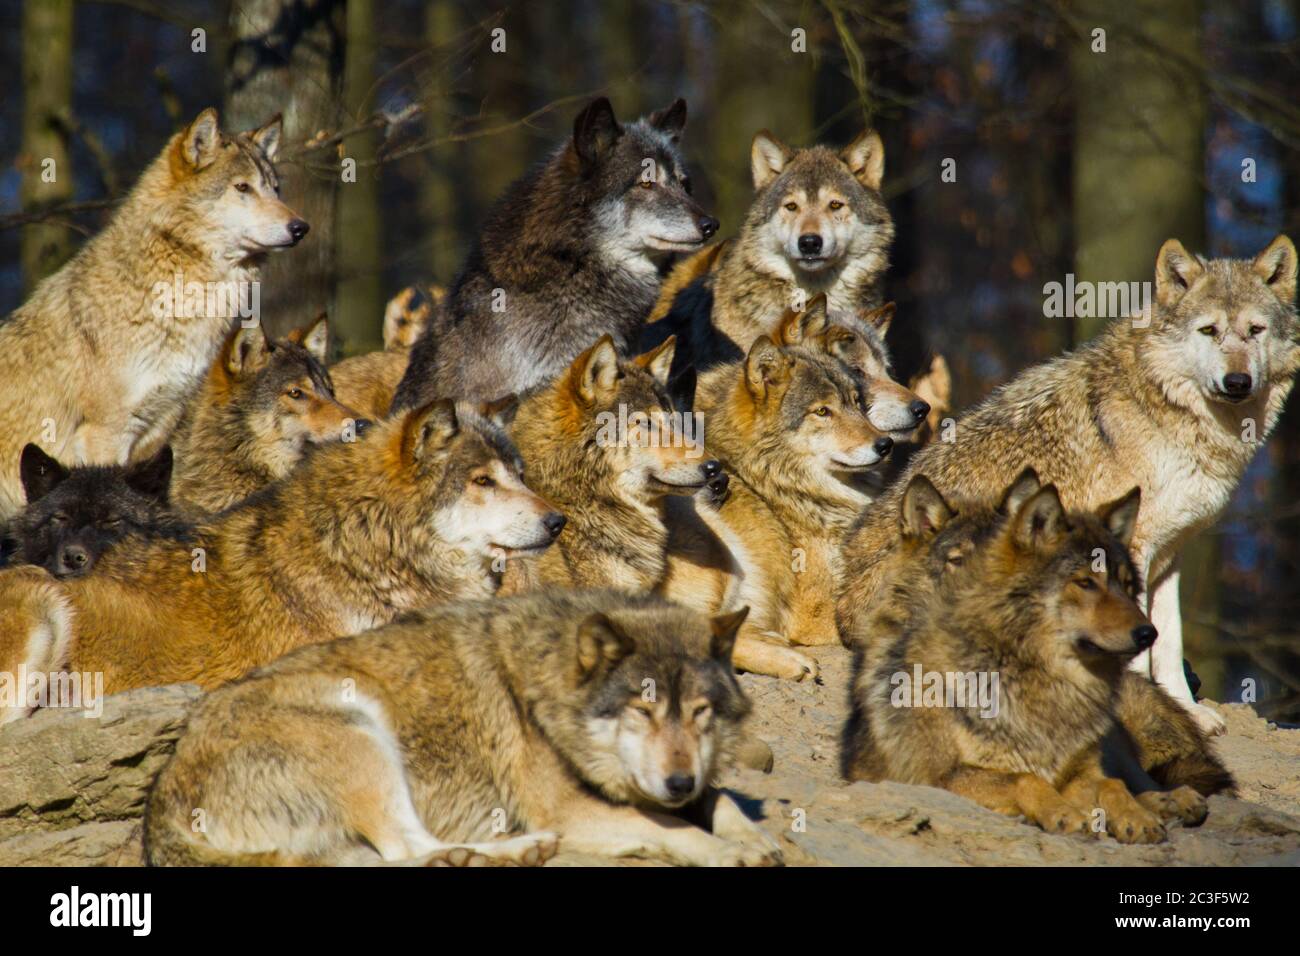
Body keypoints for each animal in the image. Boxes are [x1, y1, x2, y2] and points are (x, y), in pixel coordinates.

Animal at [144, 589, 782, 867]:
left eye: (700, 713)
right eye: (642, 712)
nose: (679, 782)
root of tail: (160, 805)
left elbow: (720, 799)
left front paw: (756, 838)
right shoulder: (565, 807)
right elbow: (665, 825)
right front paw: (727, 853)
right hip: (359, 722)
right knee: (406, 849)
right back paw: (509, 851)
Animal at [840, 236, 1299, 735]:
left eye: (1254, 330)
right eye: (1209, 331)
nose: (1237, 381)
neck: (1166, 409)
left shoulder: (1170, 553)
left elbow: (1169, 643)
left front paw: (1186, 711)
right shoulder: (1132, 546)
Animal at [841, 473, 1229, 843]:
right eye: (958, 561)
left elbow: (1106, 784)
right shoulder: (938, 774)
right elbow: (1024, 779)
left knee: (1143, 781)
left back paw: (1173, 800)